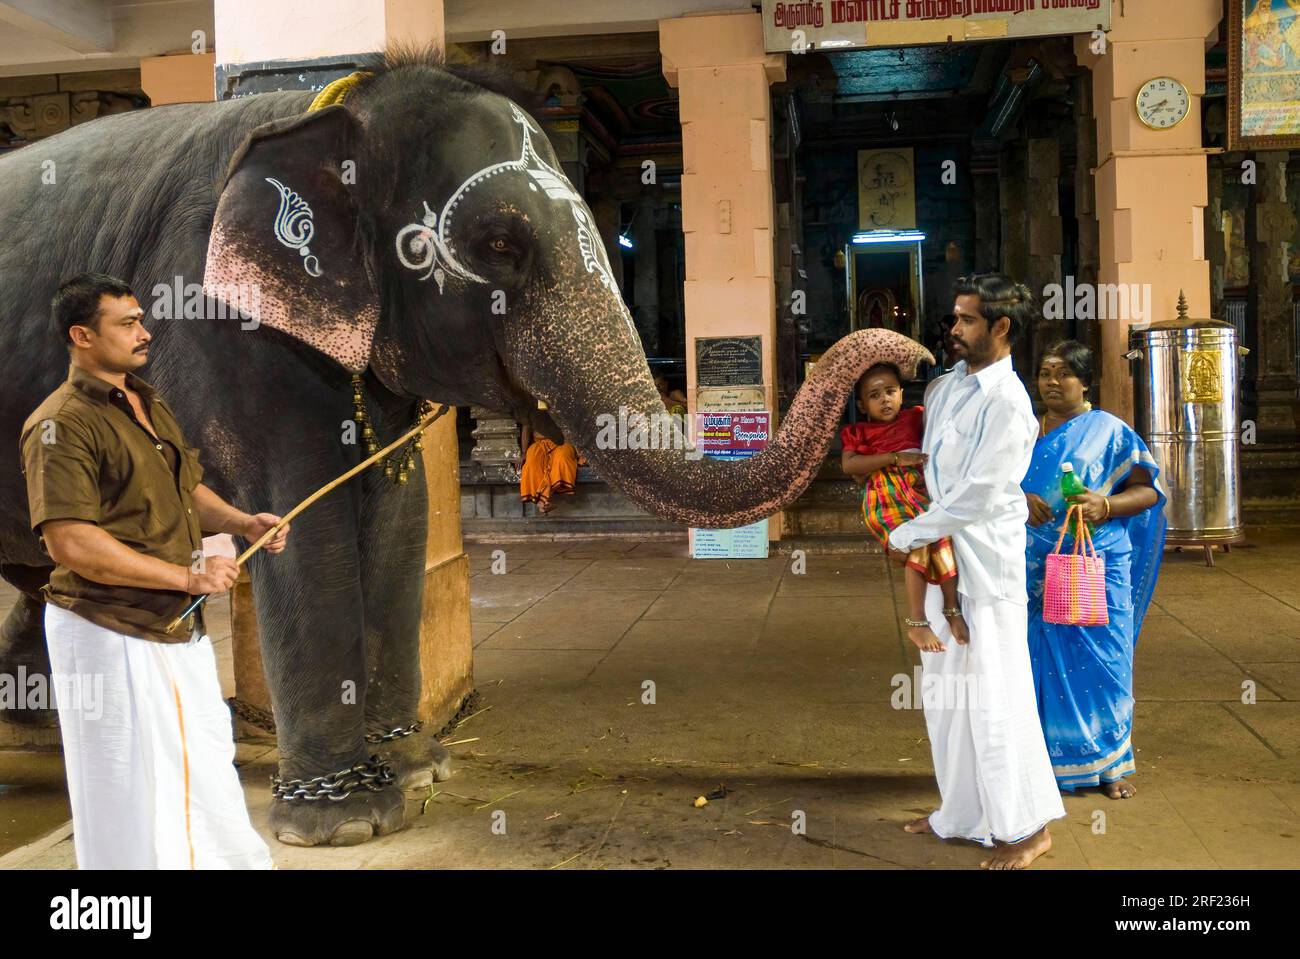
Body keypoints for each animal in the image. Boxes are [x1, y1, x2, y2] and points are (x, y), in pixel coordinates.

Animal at [0, 49, 932, 847]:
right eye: (499, 248)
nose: (911, 357)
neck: (331, 113)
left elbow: (400, 515)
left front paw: (419, 772)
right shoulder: (218, 326)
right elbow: (306, 520)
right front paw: (347, 822)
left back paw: (46, 727)